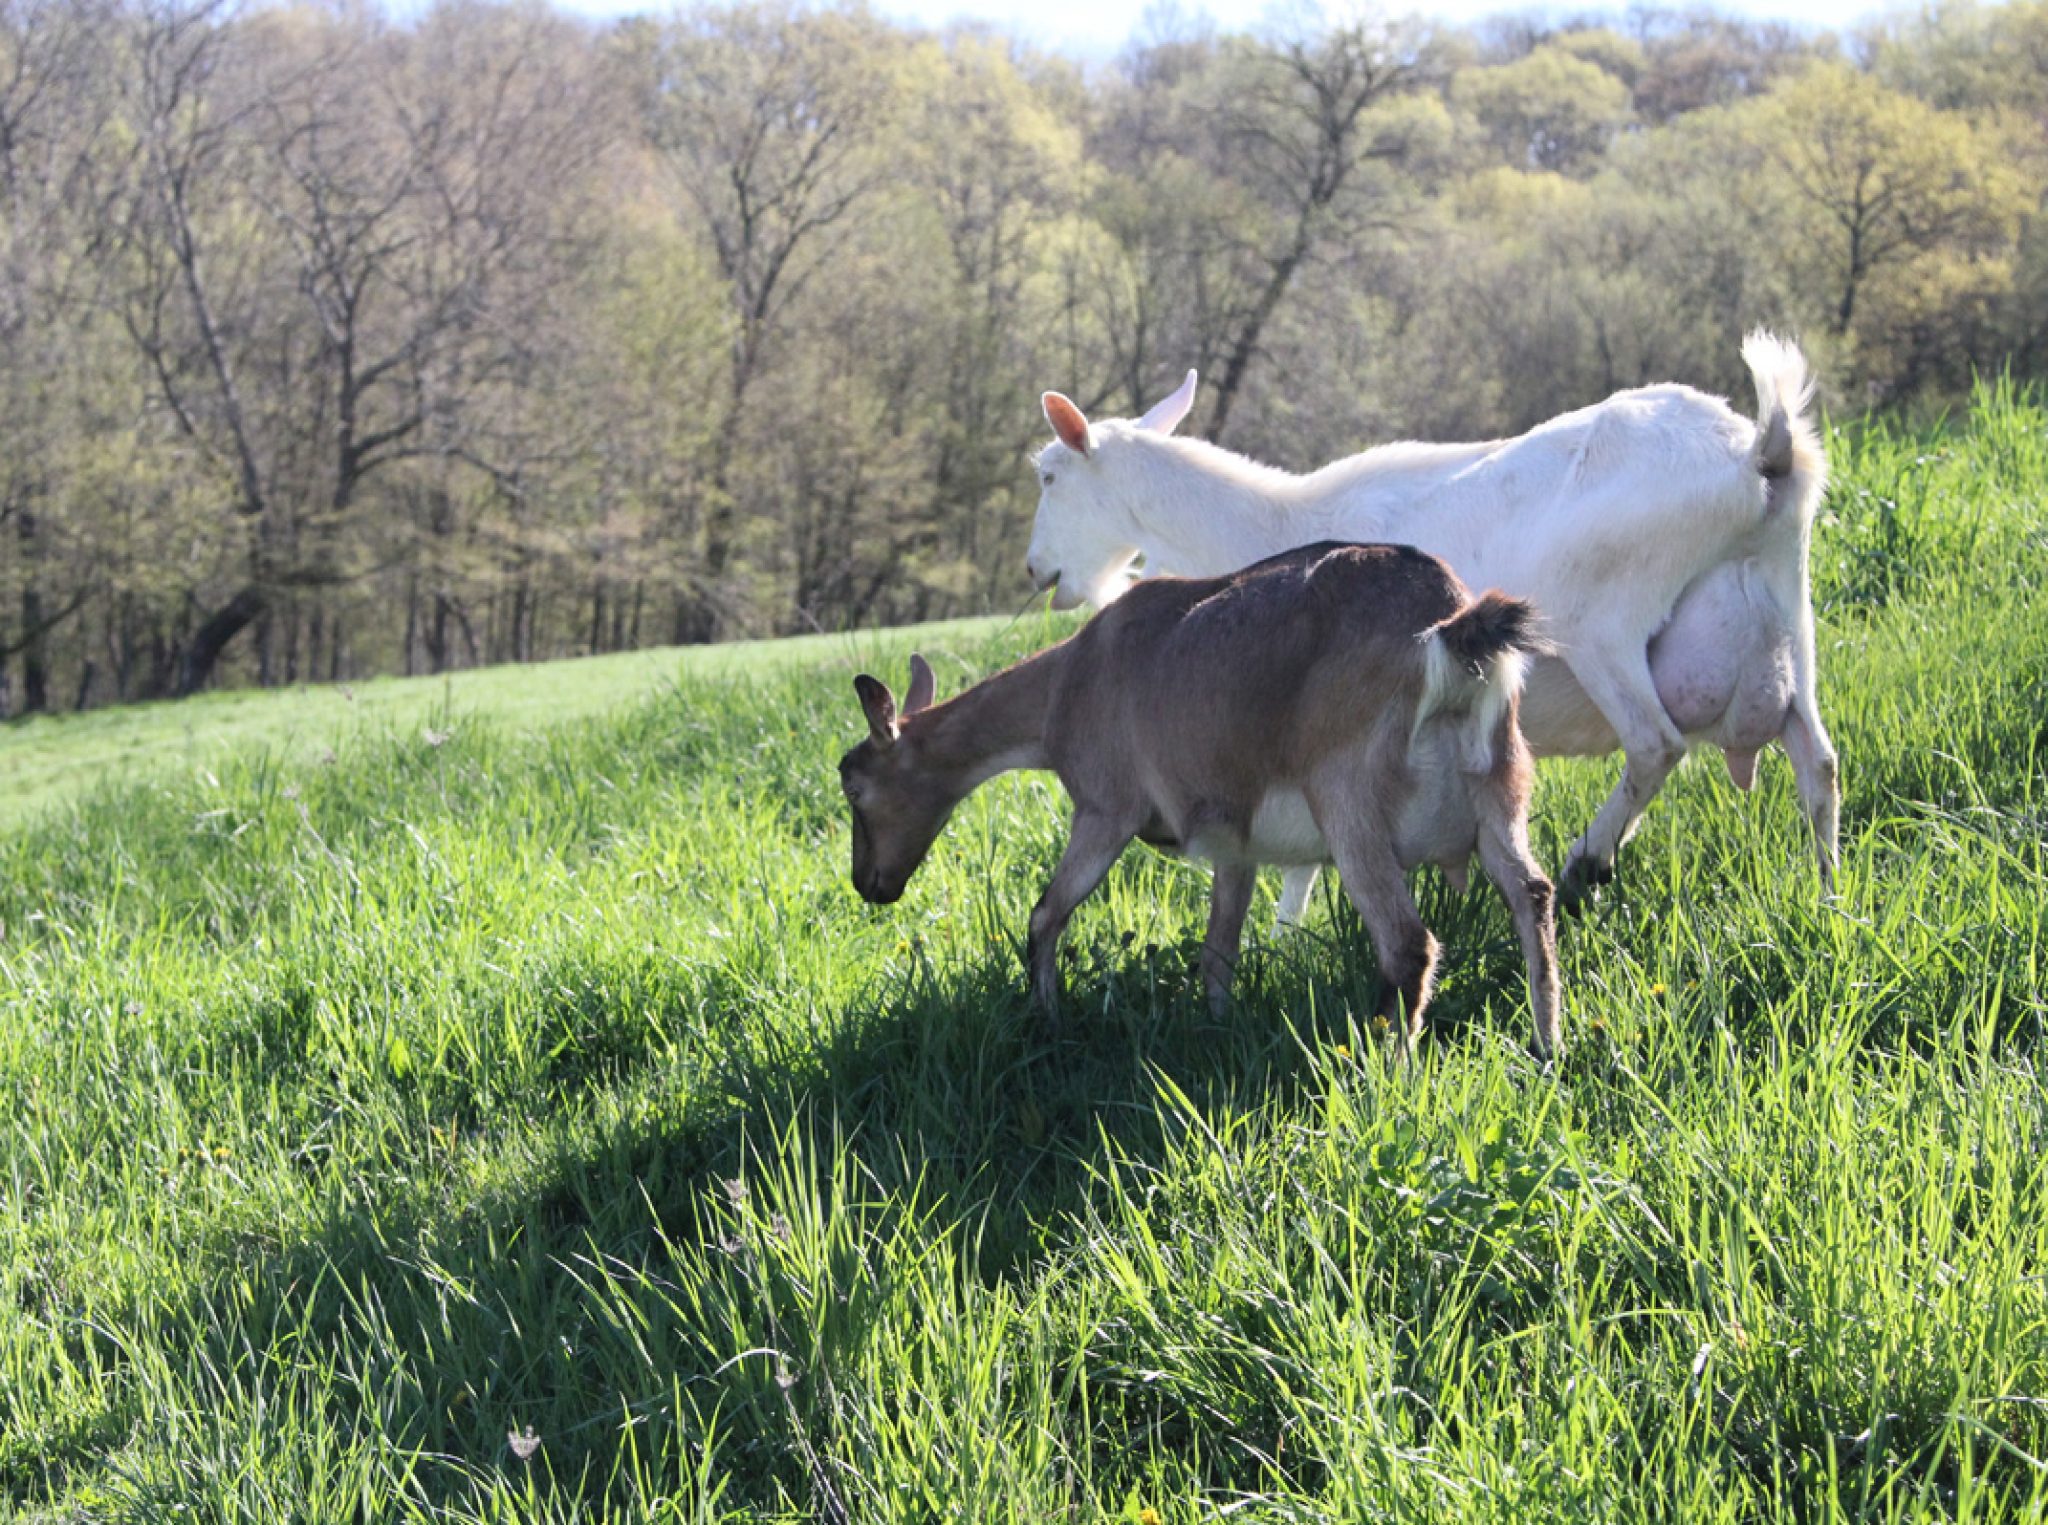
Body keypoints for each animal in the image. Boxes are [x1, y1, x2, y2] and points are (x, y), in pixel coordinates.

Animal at [838, 542, 1562, 1059]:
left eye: (852, 783)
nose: (870, 884)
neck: (1063, 687)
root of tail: (1450, 626)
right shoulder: (1235, 843)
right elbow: (1219, 948)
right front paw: (1215, 1029)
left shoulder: (1106, 807)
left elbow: (1046, 914)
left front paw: (1047, 1019)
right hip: (1500, 787)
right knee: (1532, 893)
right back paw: (1547, 1048)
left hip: (1350, 804)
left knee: (1408, 944)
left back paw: (1388, 1073)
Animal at [1023, 334, 1837, 919]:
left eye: (1048, 476)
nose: (1037, 571)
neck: (1265, 521)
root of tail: (1759, 453)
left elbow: (1297, 856)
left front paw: (1284, 935)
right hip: (1788, 611)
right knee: (1817, 760)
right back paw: (1830, 899)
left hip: (1603, 620)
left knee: (1655, 742)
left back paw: (1589, 860)